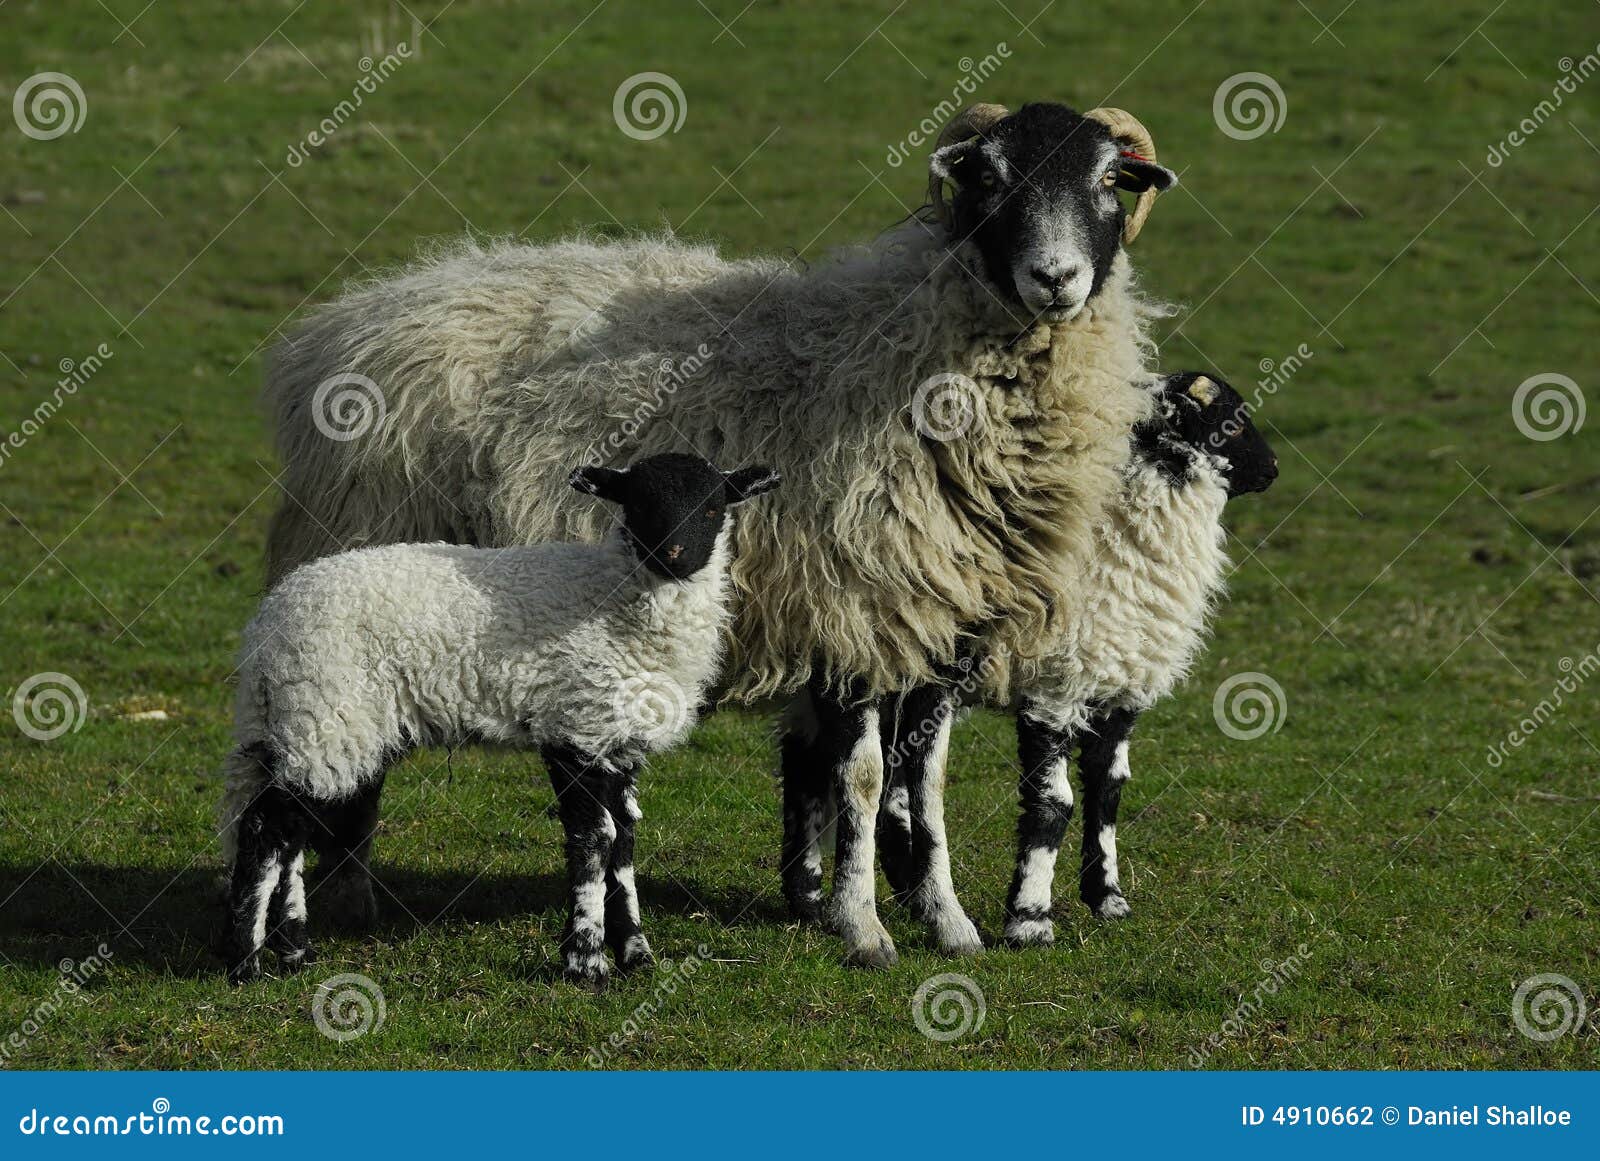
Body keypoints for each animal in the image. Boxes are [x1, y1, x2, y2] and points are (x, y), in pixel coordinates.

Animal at [218, 452, 781, 986]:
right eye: (638, 502)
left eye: (712, 506)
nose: (673, 554)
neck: (615, 595)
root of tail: (266, 631)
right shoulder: (573, 725)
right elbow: (594, 839)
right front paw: (585, 960)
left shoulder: (618, 739)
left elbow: (624, 842)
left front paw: (635, 953)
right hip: (326, 714)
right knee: (266, 827)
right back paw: (245, 963)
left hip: (310, 726)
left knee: (291, 834)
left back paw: (295, 952)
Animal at [257, 100, 1178, 967]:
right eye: (989, 178)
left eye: (1108, 177)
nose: (1054, 278)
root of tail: (340, 329)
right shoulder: (850, 613)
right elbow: (864, 777)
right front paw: (863, 926)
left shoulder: (943, 622)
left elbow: (927, 780)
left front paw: (945, 917)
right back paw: (333, 907)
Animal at [866, 373, 1278, 945]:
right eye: (1233, 421)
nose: (1274, 469)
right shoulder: (1054, 688)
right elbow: (1054, 803)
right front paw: (1030, 920)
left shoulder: (1120, 685)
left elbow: (1108, 790)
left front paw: (1107, 898)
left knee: (893, 782)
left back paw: (909, 894)